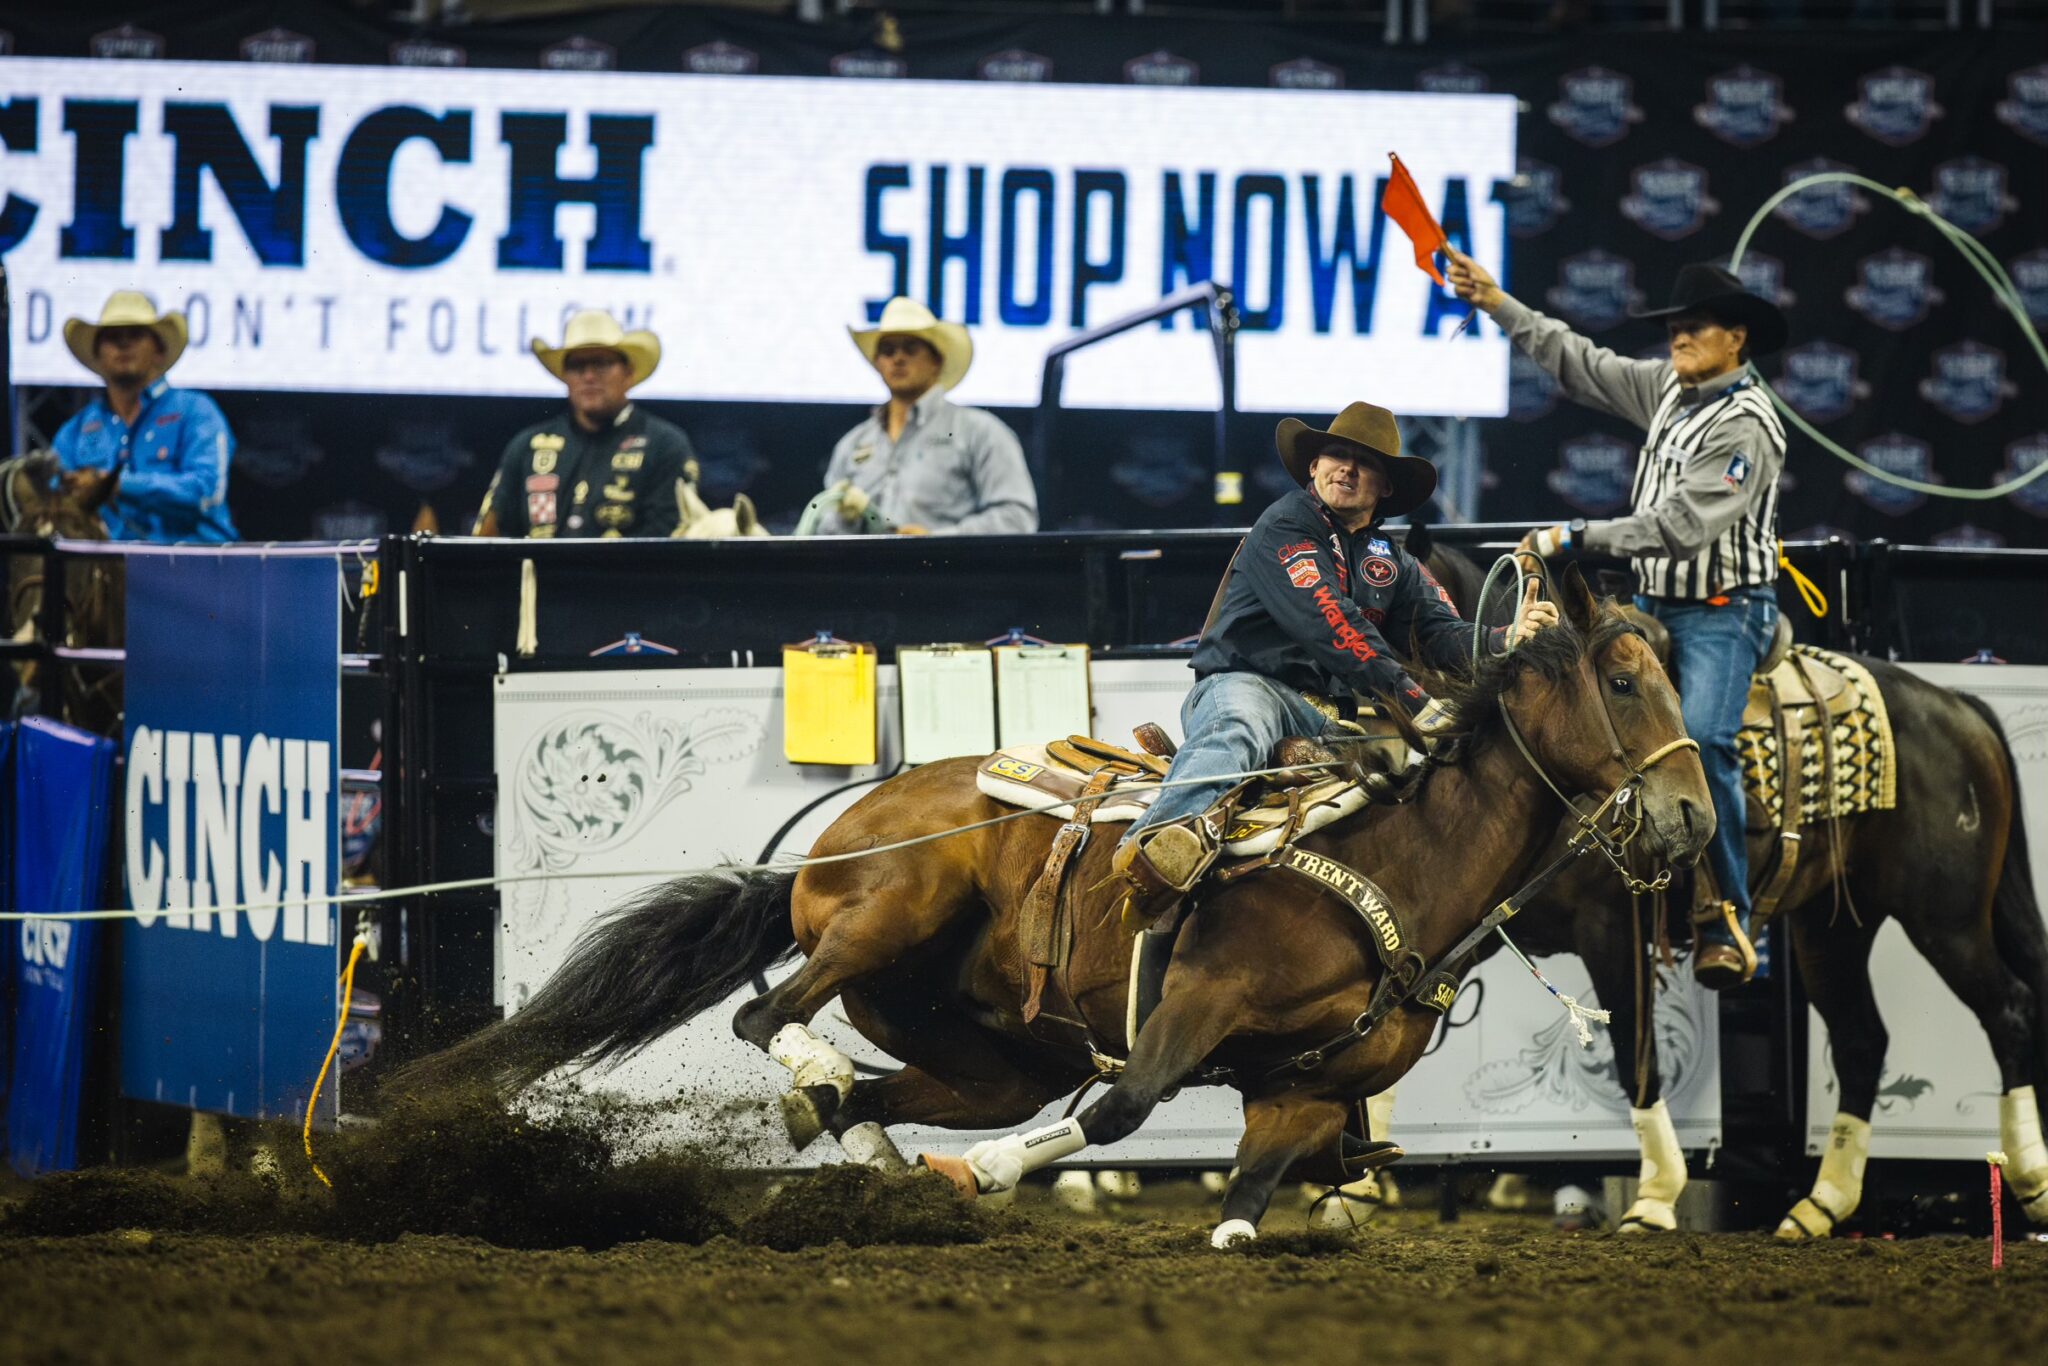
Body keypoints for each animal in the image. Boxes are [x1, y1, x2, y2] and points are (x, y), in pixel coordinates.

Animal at [400, 567, 1712, 1246]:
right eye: (1620, 676)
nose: (1693, 816)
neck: (1393, 862)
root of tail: (833, 842)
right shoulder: (1194, 1001)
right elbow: (1125, 1107)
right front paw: (989, 1177)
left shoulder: (1302, 1089)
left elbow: (1244, 1205)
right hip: (884, 917)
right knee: (765, 1020)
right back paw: (836, 1107)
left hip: (987, 1054)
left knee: (871, 1092)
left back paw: (874, 1165)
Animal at [1413, 533, 2048, 1238]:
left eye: (1626, 683)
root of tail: (1960, 707)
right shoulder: (1477, 926)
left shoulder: (1609, 927)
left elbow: (1636, 1053)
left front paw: (1656, 1194)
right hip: (1833, 924)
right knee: (1861, 1040)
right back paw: (1820, 1204)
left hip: (1947, 917)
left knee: (2009, 1010)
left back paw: (2030, 1176)